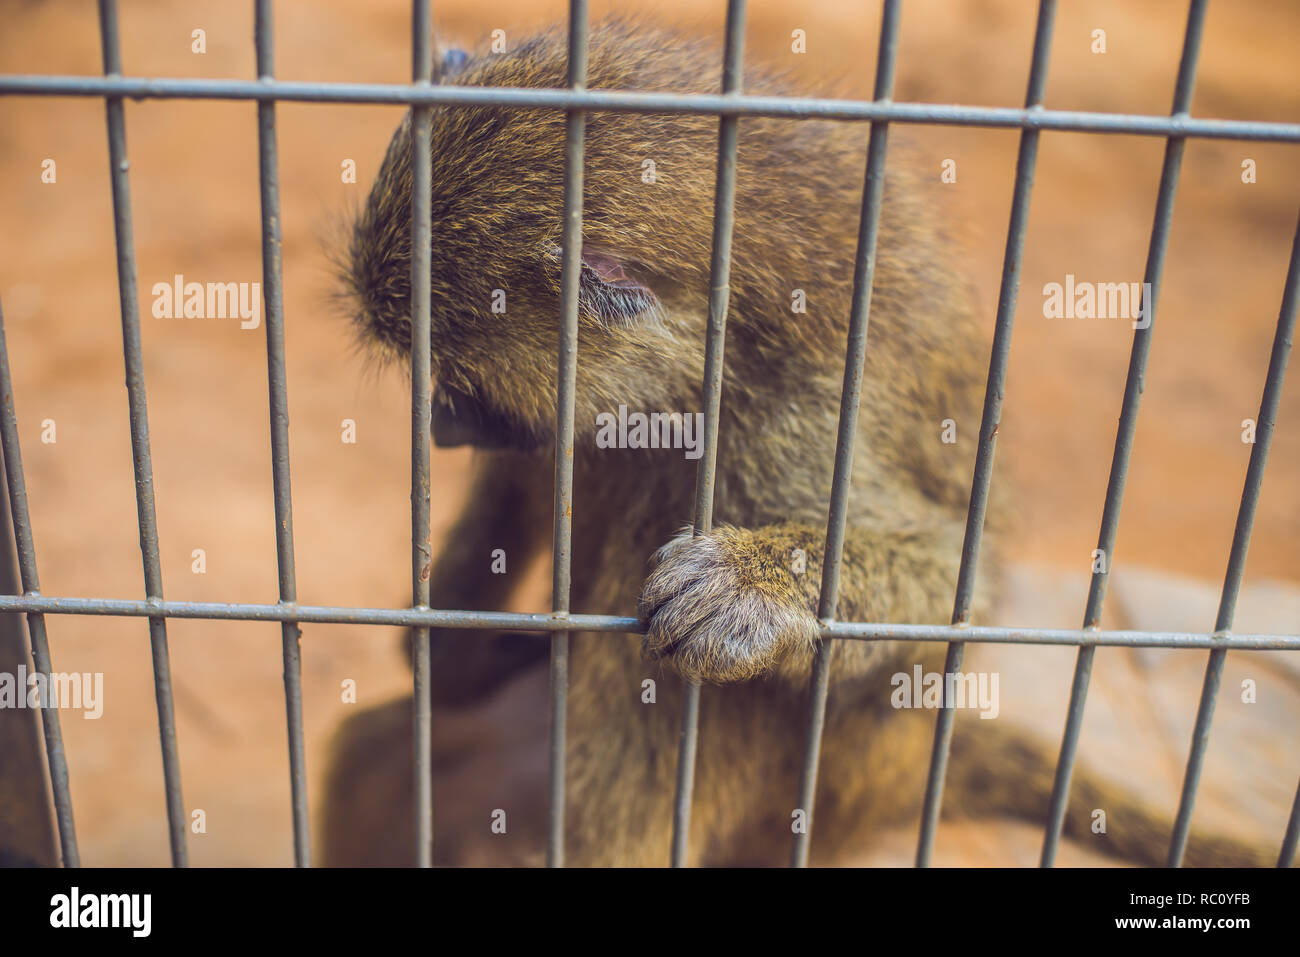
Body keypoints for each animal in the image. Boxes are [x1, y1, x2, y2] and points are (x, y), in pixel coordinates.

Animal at [319, 20, 1277, 867]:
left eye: (455, 383)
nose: (439, 427)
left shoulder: (794, 419)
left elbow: (953, 580)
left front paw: (753, 587)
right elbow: (527, 486)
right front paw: (450, 645)